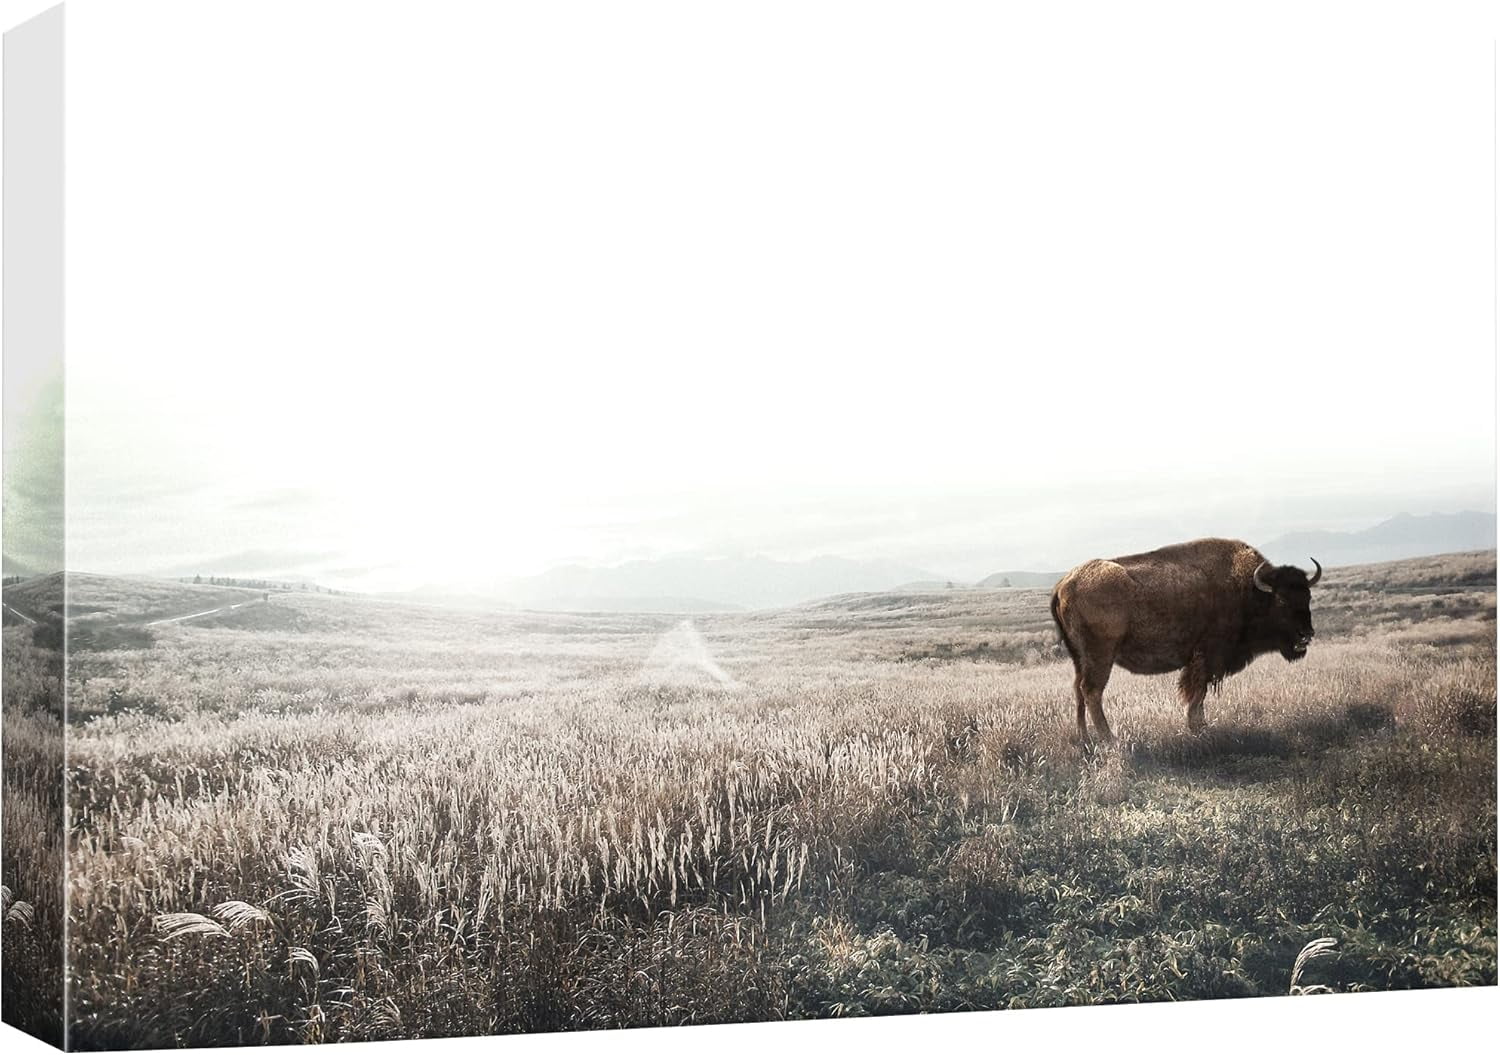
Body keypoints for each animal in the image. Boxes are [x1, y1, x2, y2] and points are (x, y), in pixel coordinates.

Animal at [1050, 537, 1321, 742]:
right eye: (1282, 600)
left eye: (1307, 597)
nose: (1306, 634)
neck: (1248, 591)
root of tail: (1063, 585)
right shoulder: (1206, 657)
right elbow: (1197, 693)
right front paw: (1197, 728)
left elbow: (1200, 695)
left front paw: (1202, 726)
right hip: (1101, 655)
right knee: (1092, 691)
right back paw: (1110, 739)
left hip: (1079, 658)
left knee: (1078, 690)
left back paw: (1085, 739)